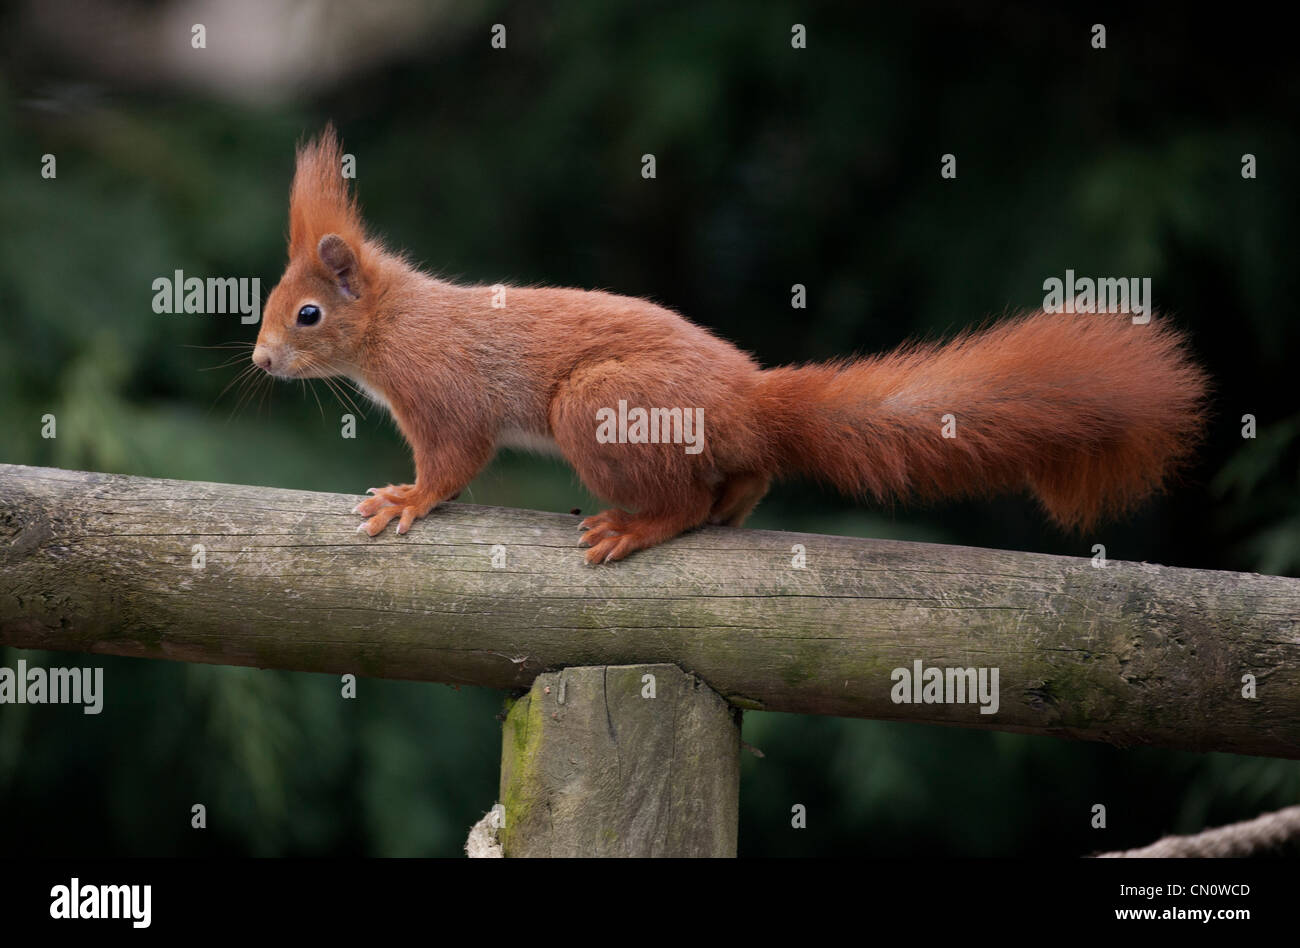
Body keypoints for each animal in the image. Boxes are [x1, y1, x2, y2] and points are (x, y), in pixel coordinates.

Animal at [253, 126, 1208, 564]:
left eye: (308, 315)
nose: (260, 362)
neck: (393, 324)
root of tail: (750, 402)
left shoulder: (442, 391)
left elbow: (453, 461)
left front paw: (407, 498)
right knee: (737, 481)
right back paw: (729, 501)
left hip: (599, 406)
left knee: (676, 503)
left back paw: (635, 526)